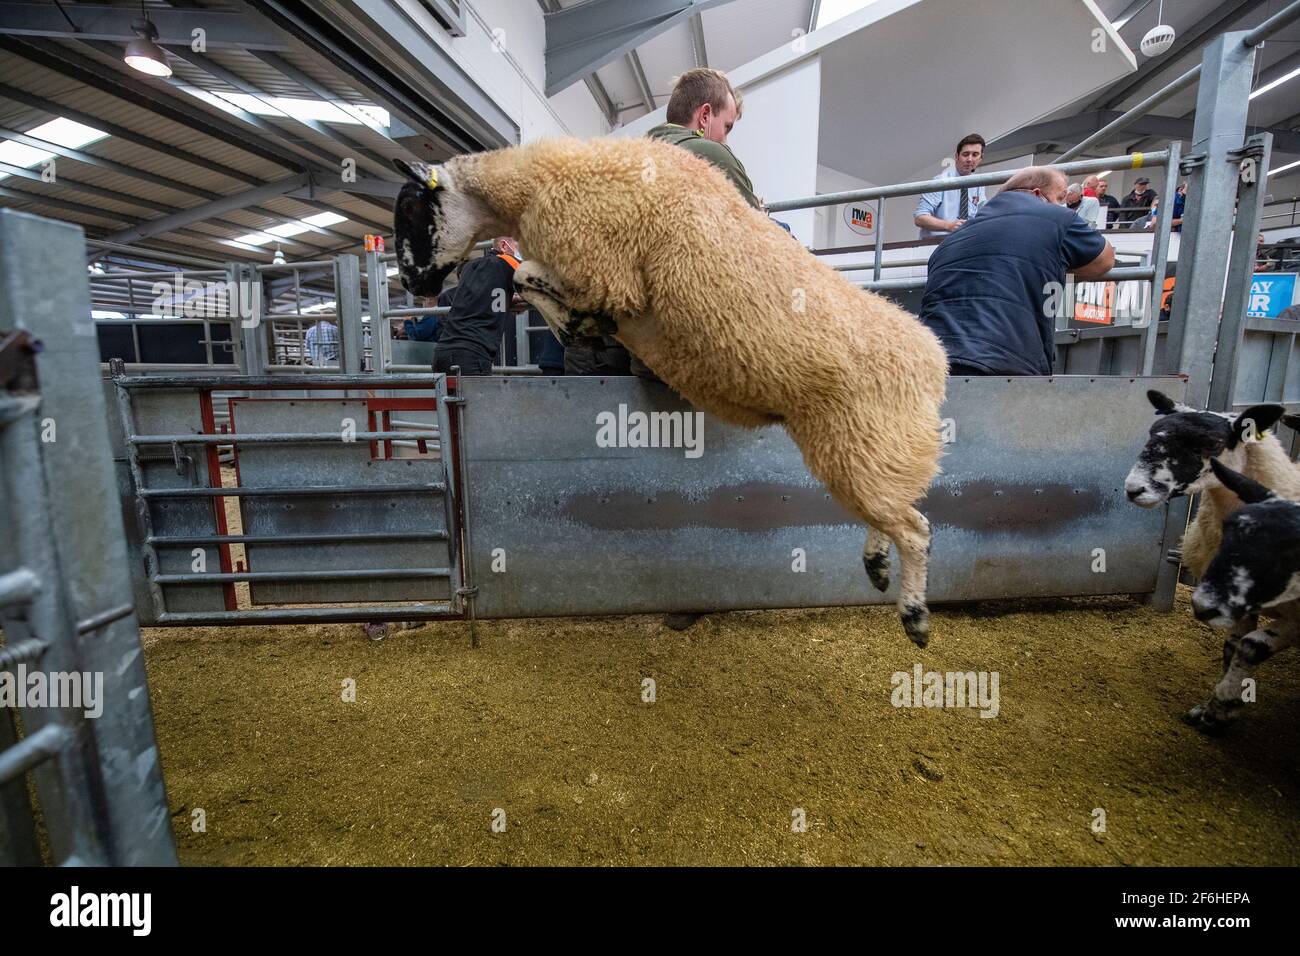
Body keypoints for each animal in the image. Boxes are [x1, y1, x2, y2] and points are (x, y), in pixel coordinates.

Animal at [391, 137, 949, 646]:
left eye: (413, 208)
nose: (413, 285)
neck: (532, 184)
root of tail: (932, 360)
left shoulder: (604, 268)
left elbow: (528, 272)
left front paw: (578, 323)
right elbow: (527, 277)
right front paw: (581, 324)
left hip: (861, 440)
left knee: (916, 527)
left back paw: (915, 616)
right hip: (865, 447)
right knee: (893, 509)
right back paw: (878, 565)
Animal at [1185, 460, 1300, 733]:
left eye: (1291, 551)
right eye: (1227, 531)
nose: (1202, 605)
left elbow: (1251, 645)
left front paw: (1223, 705)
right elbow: (1234, 645)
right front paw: (1216, 710)